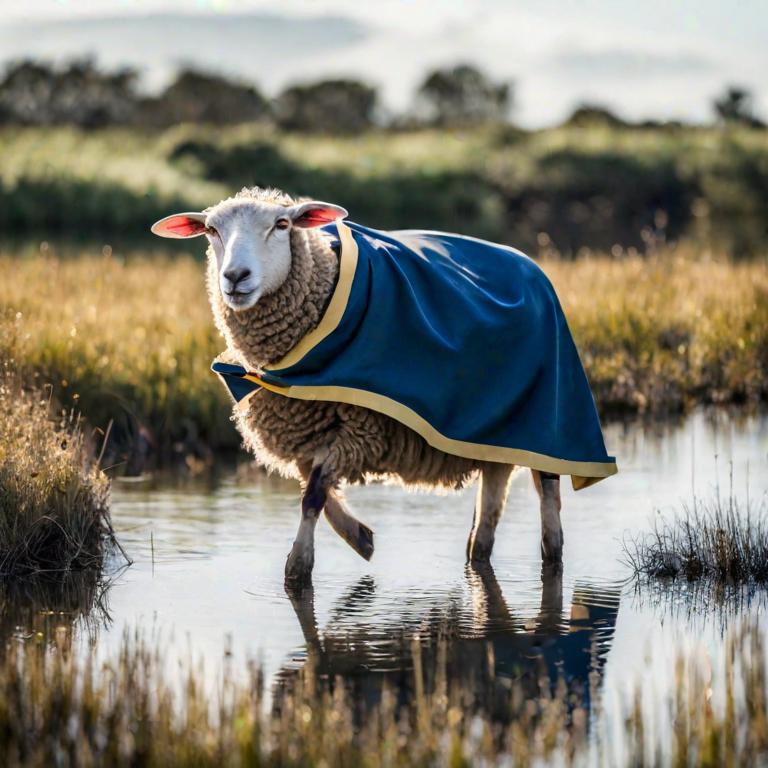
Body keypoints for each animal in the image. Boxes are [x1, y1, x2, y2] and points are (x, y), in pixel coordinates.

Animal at [152, 186, 616, 588]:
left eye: (281, 224)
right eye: (212, 231)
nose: (235, 277)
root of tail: (527, 263)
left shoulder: (361, 428)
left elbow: (313, 496)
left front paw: (299, 567)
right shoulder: (305, 430)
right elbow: (316, 492)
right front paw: (359, 536)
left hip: (547, 419)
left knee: (549, 504)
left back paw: (551, 559)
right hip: (497, 434)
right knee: (487, 514)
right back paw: (477, 556)